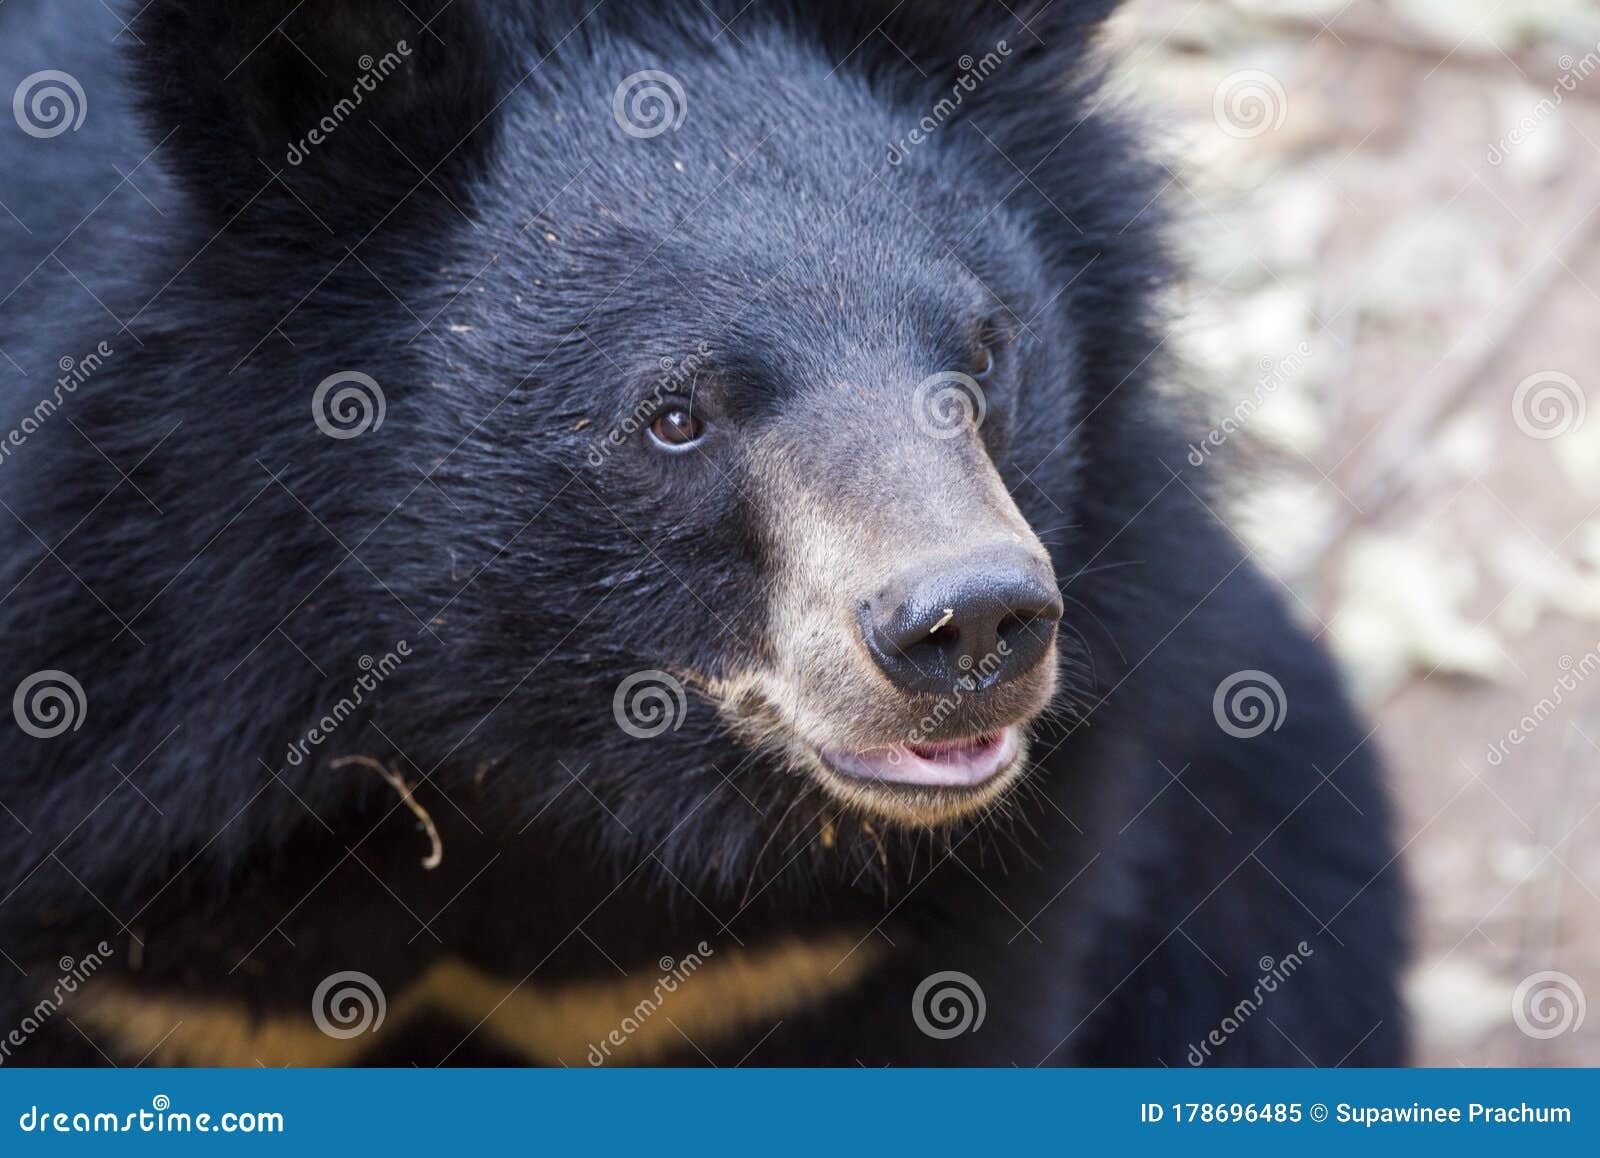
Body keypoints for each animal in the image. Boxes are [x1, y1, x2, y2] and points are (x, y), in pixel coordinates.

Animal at [0, 0, 1404, 1066]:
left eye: (983, 354)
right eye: (673, 418)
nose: (972, 626)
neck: (512, 758)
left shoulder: (848, 943)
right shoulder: (137, 917)